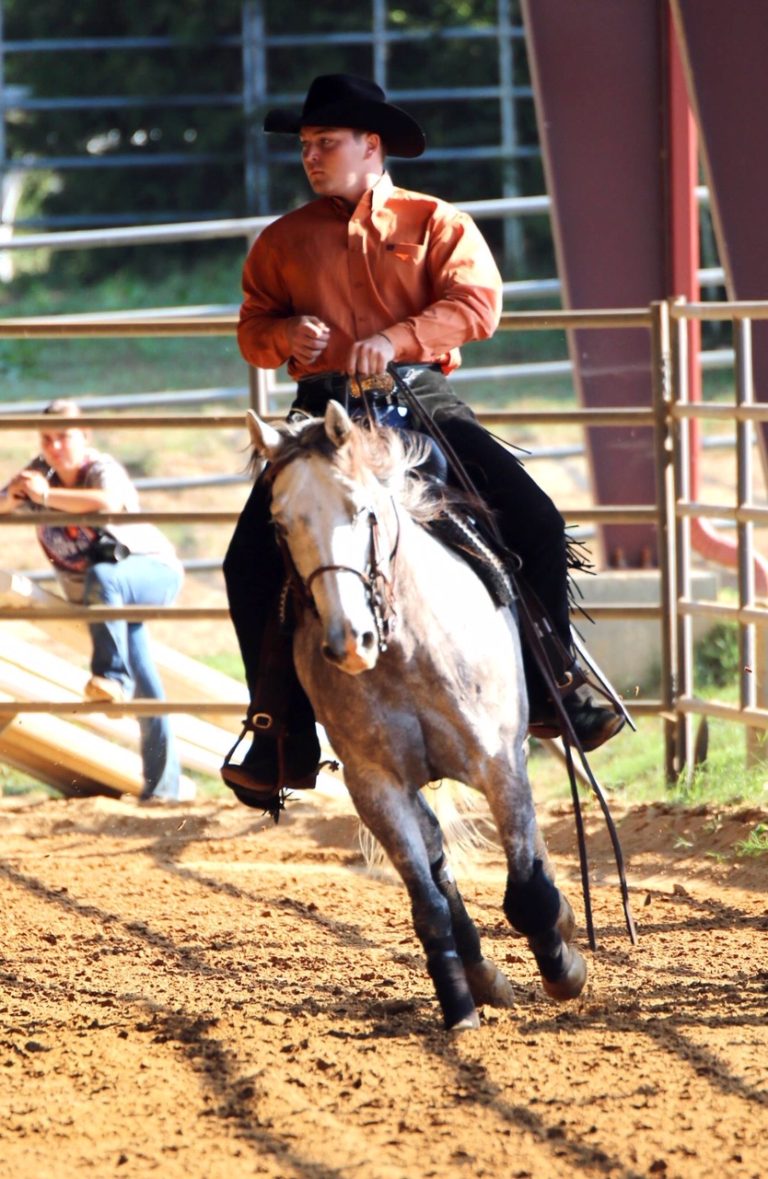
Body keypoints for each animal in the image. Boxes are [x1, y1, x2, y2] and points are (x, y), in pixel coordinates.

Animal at [246, 400, 586, 1032]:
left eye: (361, 510)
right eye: (279, 526)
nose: (349, 642)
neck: (409, 651)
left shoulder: (500, 762)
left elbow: (526, 888)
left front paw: (565, 969)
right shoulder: (377, 786)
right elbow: (428, 904)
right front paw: (459, 1006)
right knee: (438, 865)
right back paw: (482, 976)